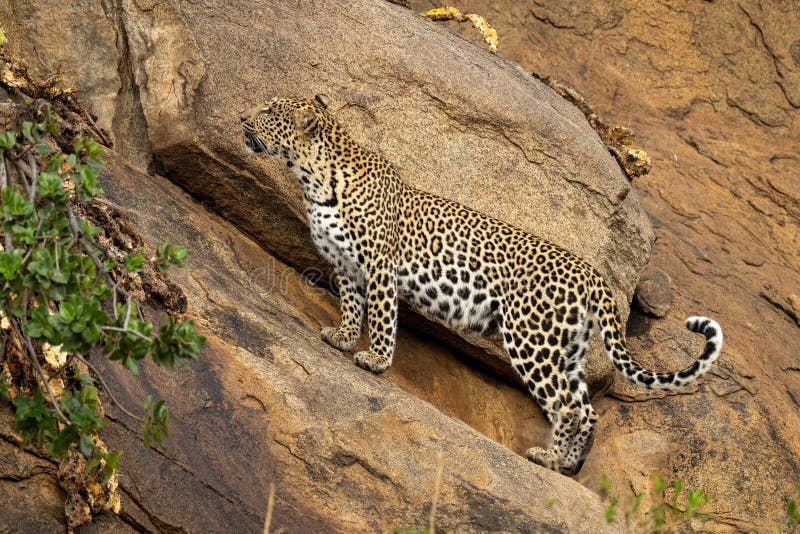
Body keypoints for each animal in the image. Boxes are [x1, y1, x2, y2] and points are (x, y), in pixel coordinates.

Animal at [240, 95, 723, 475]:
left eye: (268, 111)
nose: (242, 117)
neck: (313, 178)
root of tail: (591, 275)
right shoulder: (345, 266)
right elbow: (352, 306)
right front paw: (341, 338)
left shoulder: (379, 267)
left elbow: (380, 316)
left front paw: (375, 361)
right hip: (566, 347)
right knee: (586, 408)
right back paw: (565, 465)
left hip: (531, 338)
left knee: (567, 406)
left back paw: (548, 459)